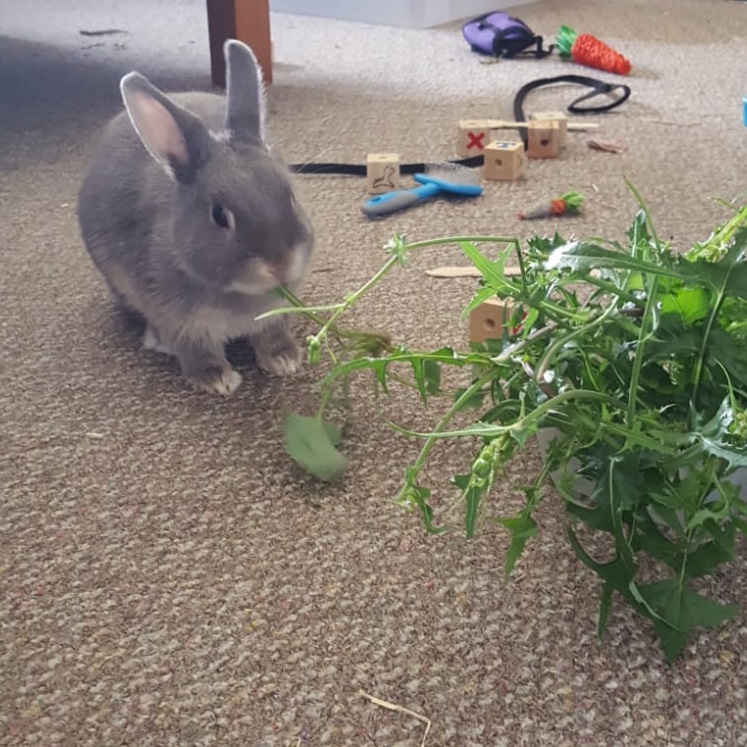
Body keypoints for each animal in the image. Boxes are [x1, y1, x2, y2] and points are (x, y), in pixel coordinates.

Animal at [77, 39, 314, 396]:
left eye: (291, 197)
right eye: (219, 216)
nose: (280, 266)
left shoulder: (276, 313)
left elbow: (271, 333)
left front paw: (285, 359)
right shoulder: (179, 320)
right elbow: (195, 349)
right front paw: (217, 379)